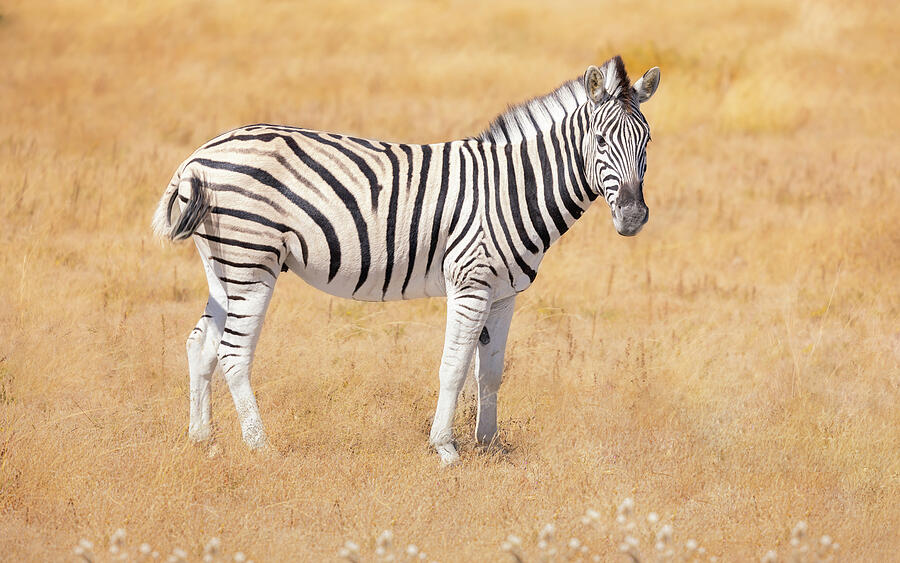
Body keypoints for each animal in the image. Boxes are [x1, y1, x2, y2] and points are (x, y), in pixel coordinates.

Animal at [152, 55, 660, 464]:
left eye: (648, 141)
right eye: (599, 140)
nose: (634, 217)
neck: (512, 188)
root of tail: (199, 156)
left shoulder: (504, 294)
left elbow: (491, 373)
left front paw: (491, 446)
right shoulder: (471, 283)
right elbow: (454, 368)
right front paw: (446, 449)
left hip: (224, 267)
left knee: (200, 344)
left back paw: (203, 439)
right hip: (251, 260)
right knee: (233, 352)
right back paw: (261, 446)